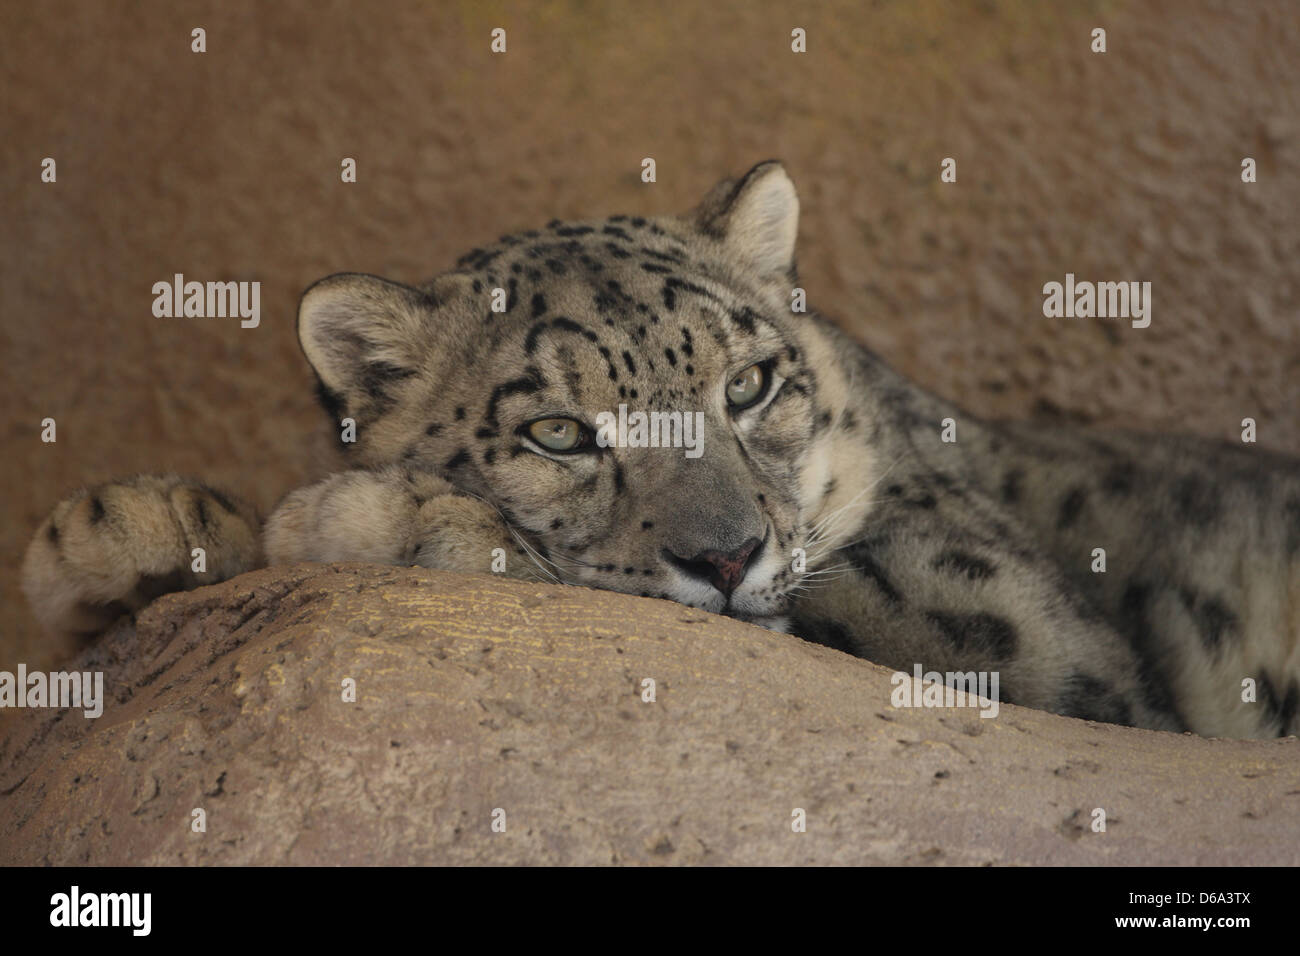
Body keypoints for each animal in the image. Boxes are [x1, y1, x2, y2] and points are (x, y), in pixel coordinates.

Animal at [21, 161, 1300, 739]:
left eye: (746, 382)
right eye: (557, 431)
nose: (727, 556)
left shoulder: (1023, 642)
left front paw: (372, 516)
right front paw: (119, 535)